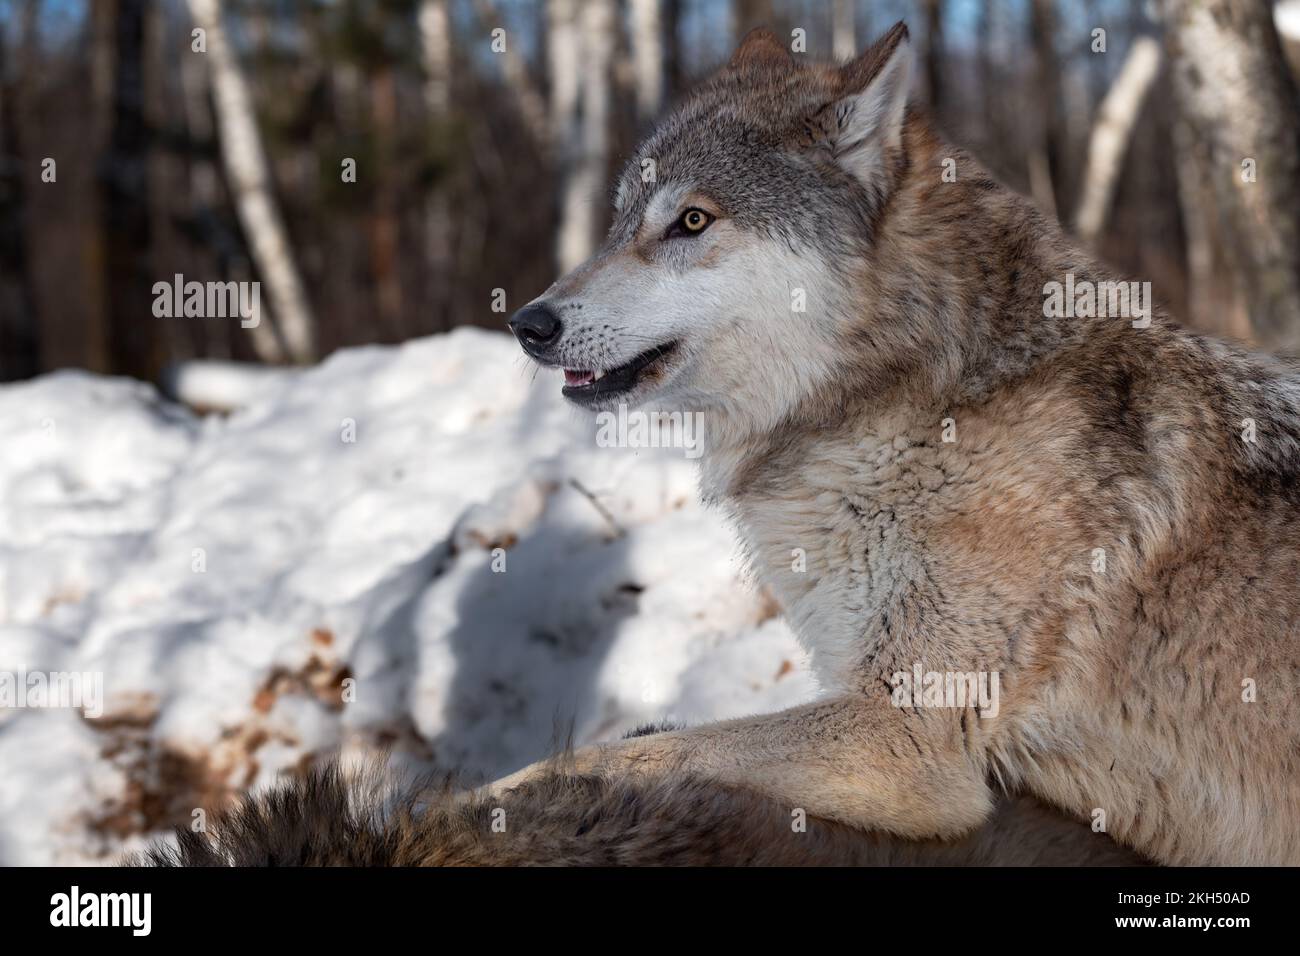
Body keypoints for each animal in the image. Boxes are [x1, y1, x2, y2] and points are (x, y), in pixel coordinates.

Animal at [506, 22, 1300, 866]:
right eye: (621, 222)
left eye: (691, 221)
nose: (527, 323)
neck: (907, 408)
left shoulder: (902, 739)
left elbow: (608, 755)